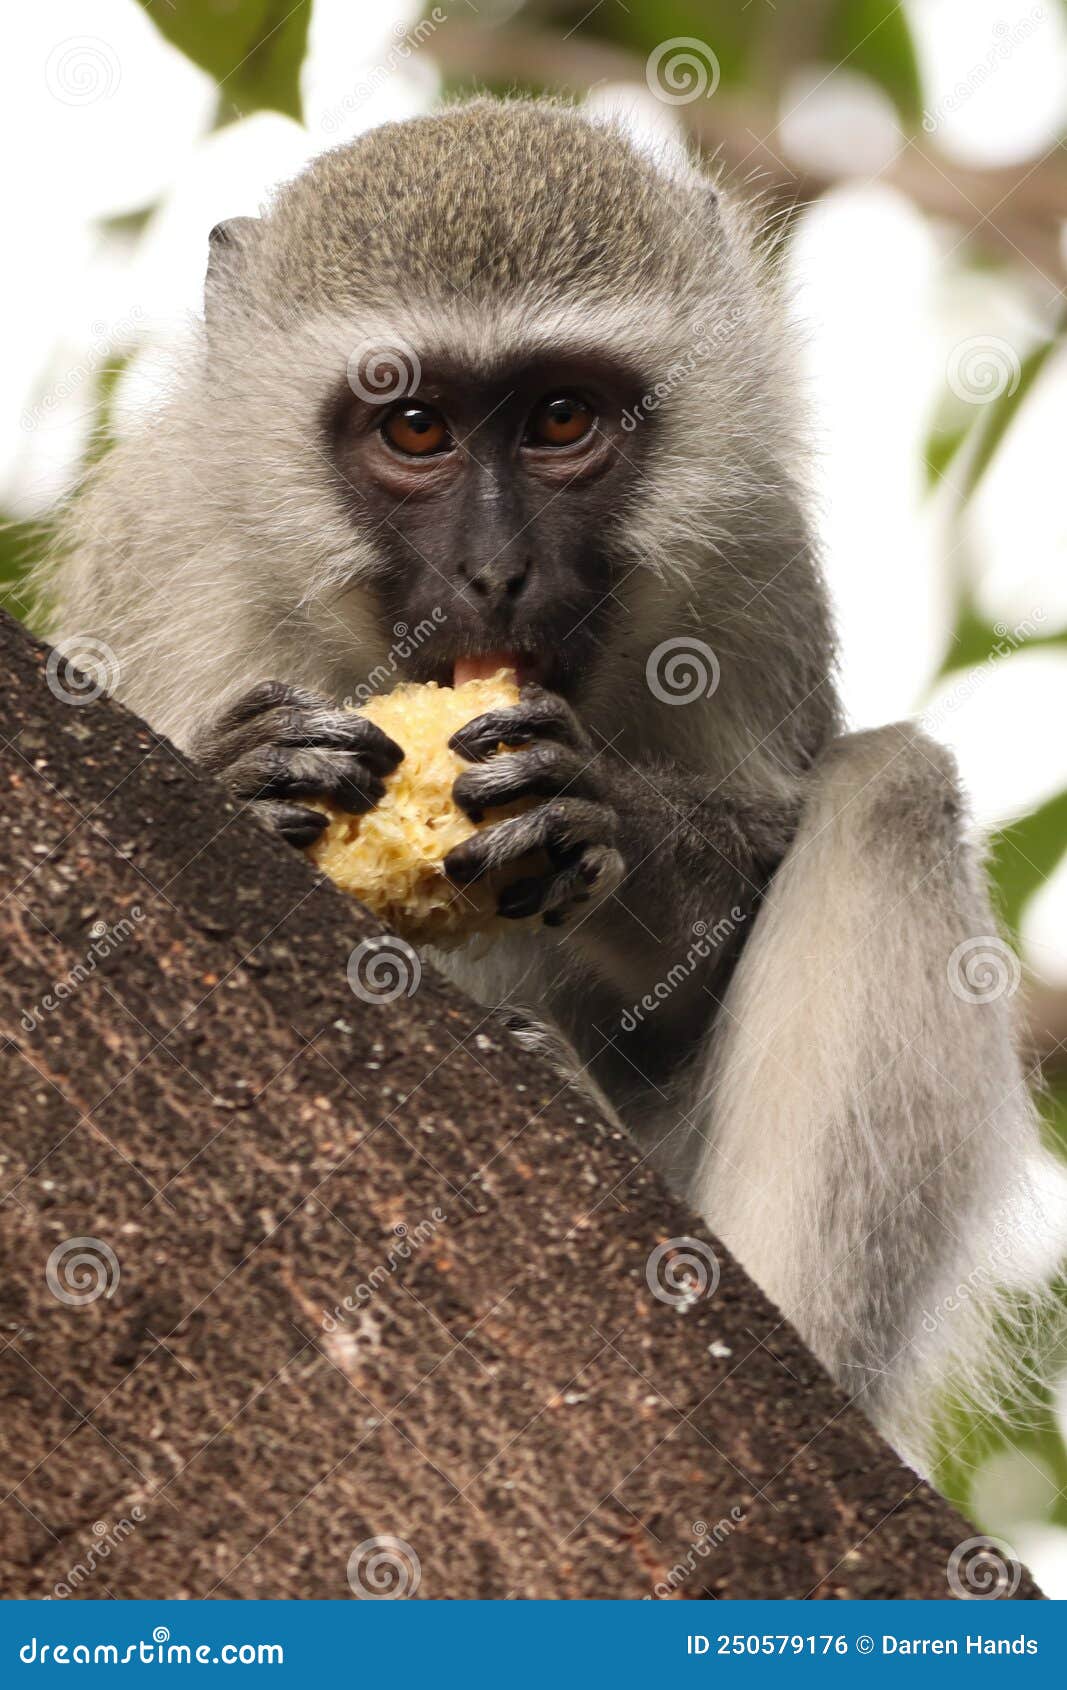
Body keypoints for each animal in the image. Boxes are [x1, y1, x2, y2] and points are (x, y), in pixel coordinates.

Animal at [42, 97, 1065, 1470]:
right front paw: (244, 775)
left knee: (892, 792)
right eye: (413, 426)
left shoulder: (756, 574)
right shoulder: (164, 556)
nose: (494, 572)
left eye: (562, 419)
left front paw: (603, 822)